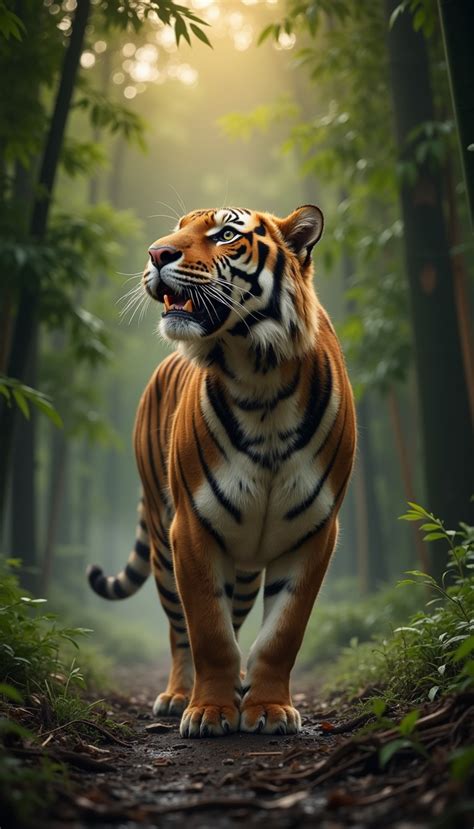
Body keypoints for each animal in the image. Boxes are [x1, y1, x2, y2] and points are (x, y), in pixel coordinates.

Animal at [87, 204, 356, 738]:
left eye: (226, 234)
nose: (157, 253)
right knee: (178, 629)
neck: (260, 374)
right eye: (178, 229)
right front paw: (209, 711)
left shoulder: (315, 532)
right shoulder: (191, 528)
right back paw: (178, 696)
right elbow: (206, 632)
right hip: (162, 536)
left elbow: (281, 633)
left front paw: (269, 708)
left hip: (245, 561)